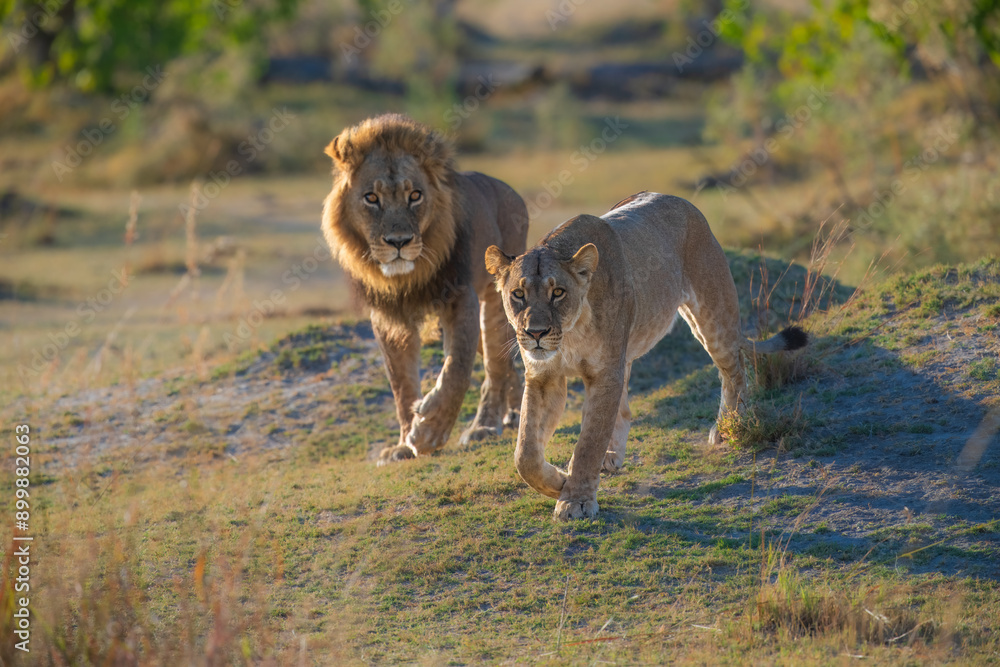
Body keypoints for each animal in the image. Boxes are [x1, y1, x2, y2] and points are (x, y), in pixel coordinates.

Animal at [321, 114, 528, 464]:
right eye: (371, 198)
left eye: (415, 195)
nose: (399, 242)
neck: (408, 277)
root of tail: (511, 190)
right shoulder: (388, 318)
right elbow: (401, 385)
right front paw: (404, 444)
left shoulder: (460, 297)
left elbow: (457, 368)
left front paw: (431, 431)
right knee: (503, 361)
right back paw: (512, 413)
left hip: (495, 302)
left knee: (495, 366)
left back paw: (485, 426)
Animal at [485, 191, 807, 520]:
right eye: (518, 294)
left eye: (558, 292)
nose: (535, 333)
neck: (570, 333)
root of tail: (679, 200)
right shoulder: (545, 376)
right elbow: (525, 453)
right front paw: (560, 481)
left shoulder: (606, 373)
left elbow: (589, 441)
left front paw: (576, 499)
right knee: (624, 410)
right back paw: (609, 456)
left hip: (713, 322)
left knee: (734, 371)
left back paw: (729, 426)